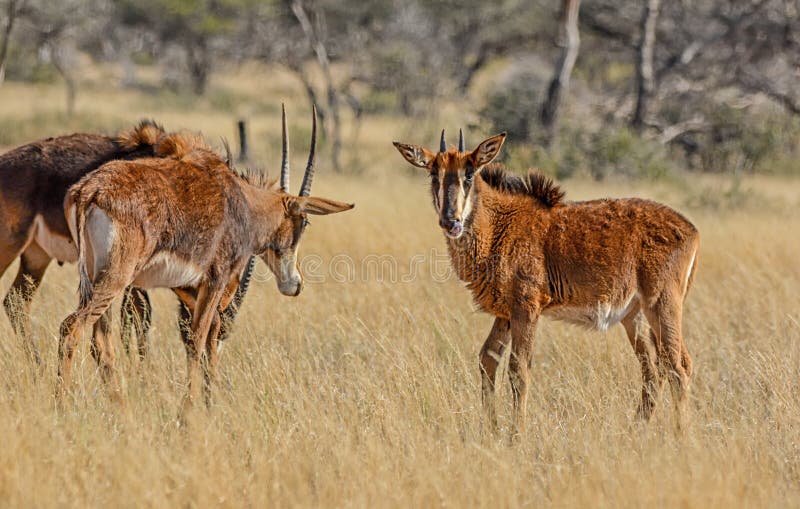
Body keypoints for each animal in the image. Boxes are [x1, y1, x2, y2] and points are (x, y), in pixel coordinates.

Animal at [60, 106, 353, 414]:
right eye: (305, 222)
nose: (294, 284)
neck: (244, 201)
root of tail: (88, 191)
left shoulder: (195, 289)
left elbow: (207, 338)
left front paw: (209, 403)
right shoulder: (216, 280)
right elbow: (197, 339)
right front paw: (189, 410)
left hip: (95, 278)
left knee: (99, 340)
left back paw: (120, 406)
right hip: (116, 278)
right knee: (71, 328)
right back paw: (62, 406)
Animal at [393, 130, 699, 433]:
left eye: (469, 174)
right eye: (433, 174)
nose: (450, 221)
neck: (499, 224)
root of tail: (691, 229)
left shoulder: (527, 307)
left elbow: (518, 370)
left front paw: (516, 435)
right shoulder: (506, 313)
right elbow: (487, 360)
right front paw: (491, 429)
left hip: (661, 305)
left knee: (678, 364)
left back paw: (680, 434)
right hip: (634, 316)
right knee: (654, 369)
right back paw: (636, 429)